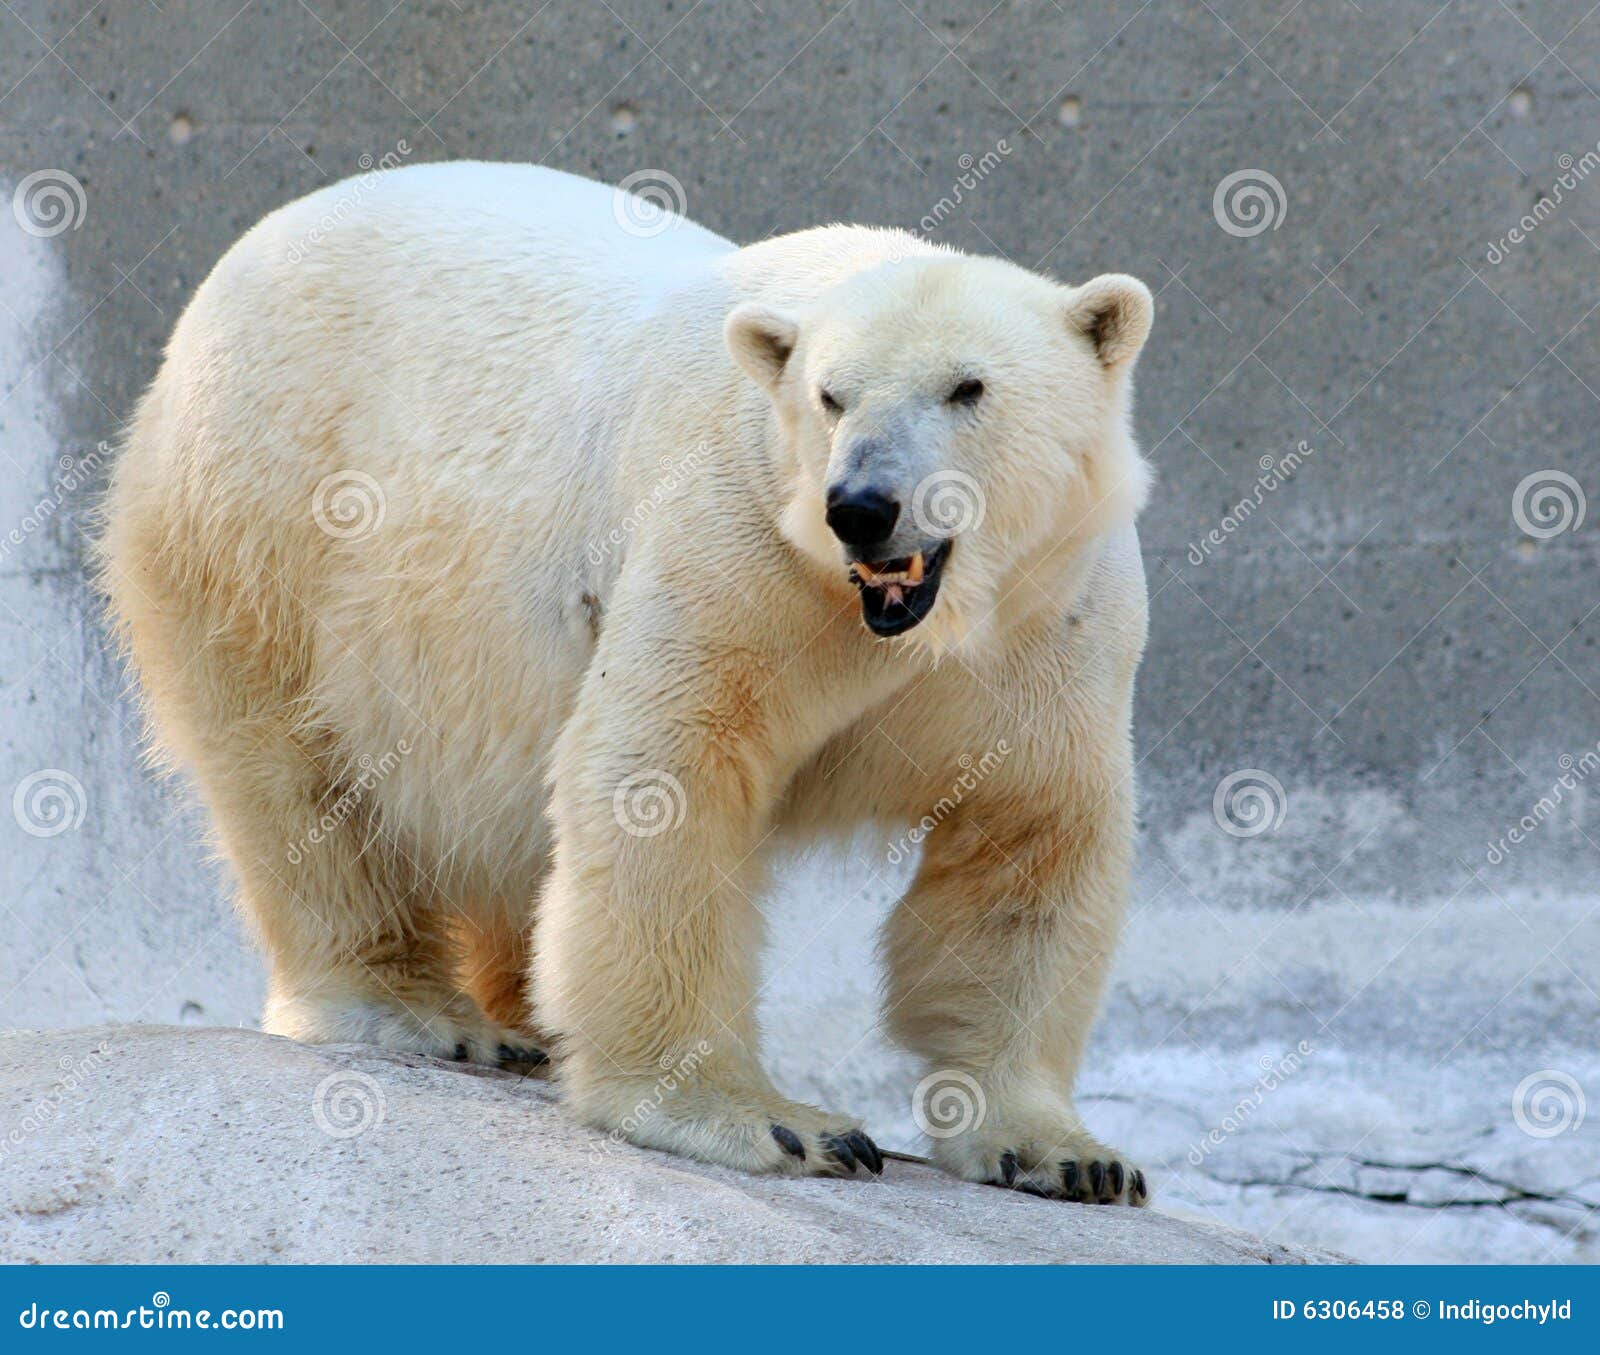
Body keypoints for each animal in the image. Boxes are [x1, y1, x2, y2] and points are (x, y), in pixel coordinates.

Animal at [99, 162, 1155, 1204]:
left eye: (969, 387)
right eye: (831, 396)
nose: (862, 505)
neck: (894, 621)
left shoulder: (1050, 622)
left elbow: (1030, 834)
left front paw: (1067, 1152)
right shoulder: (741, 547)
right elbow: (667, 774)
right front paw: (774, 1123)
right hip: (265, 516)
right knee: (303, 782)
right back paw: (421, 1009)